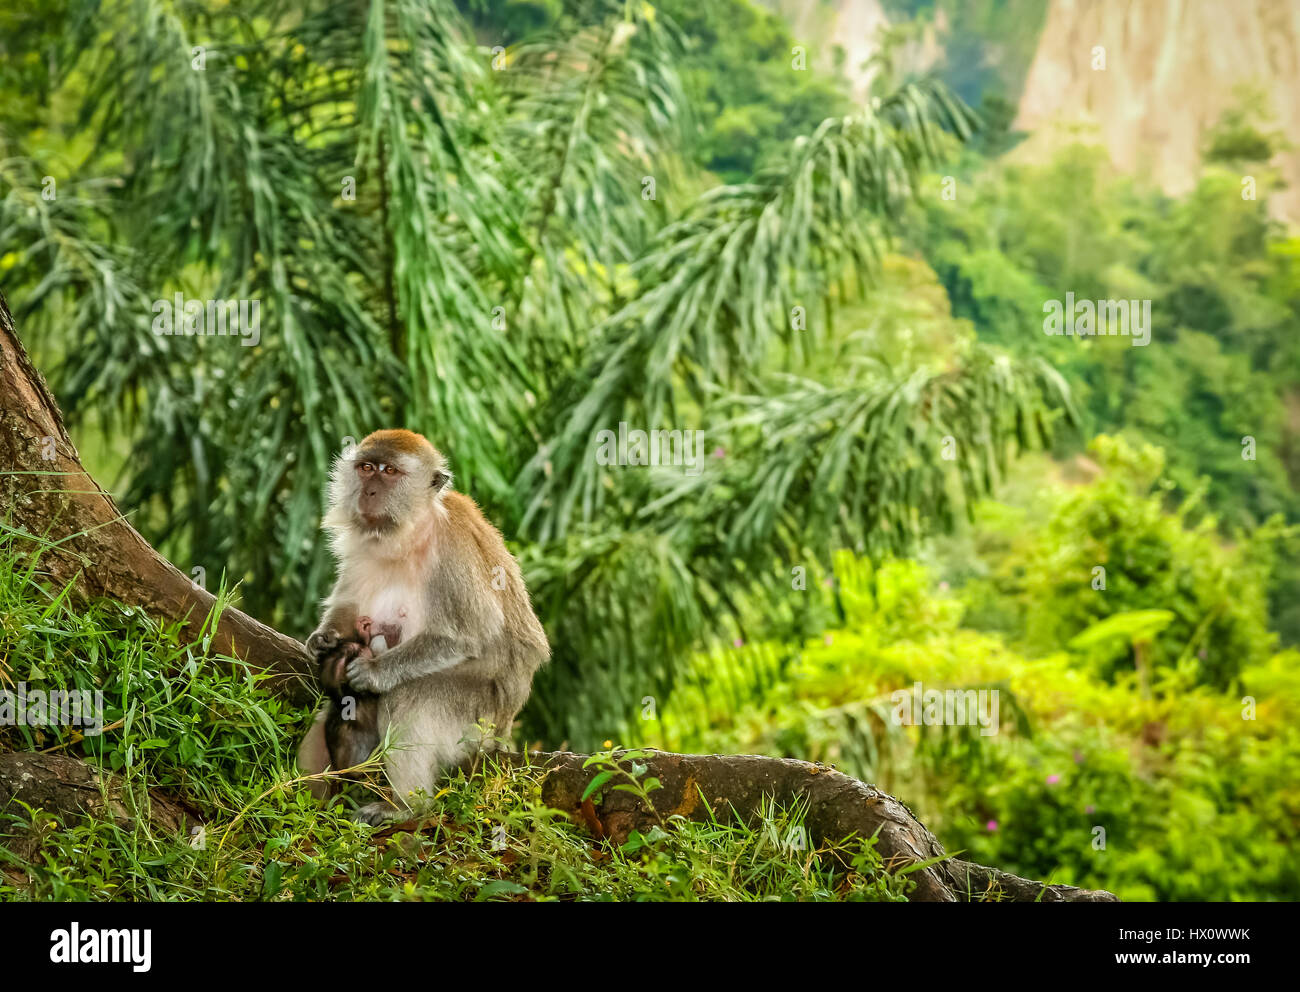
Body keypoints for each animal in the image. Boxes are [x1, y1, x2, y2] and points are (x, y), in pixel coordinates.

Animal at [296, 429, 550, 824]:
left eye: (389, 471)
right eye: (366, 468)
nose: (369, 492)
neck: (410, 531)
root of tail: (504, 730)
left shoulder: (452, 551)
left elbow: (471, 635)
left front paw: (374, 671)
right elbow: (349, 604)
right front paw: (325, 638)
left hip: (476, 724)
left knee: (409, 699)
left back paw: (406, 807)